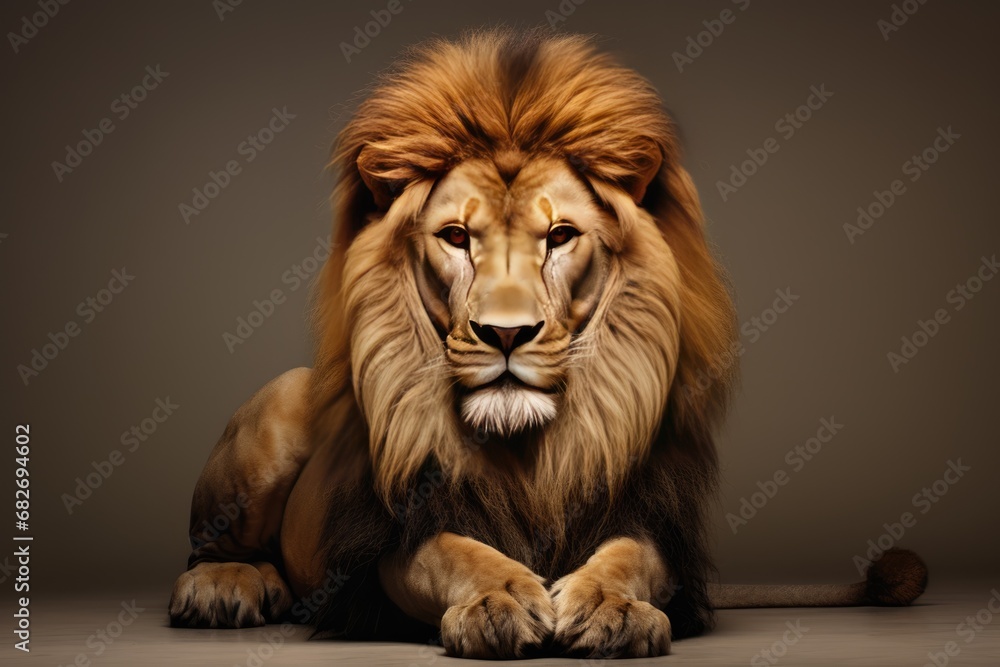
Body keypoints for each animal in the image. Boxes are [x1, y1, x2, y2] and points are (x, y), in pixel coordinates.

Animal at [169, 29, 927, 659]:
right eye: (455, 236)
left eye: (560, 235)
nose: (507, 334)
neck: (525, 450)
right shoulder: (396, 538)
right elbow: (454, 552)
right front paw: (500, 598)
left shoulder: (644, 511)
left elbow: (631, 556)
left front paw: (609, 604)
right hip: (276, 414)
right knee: (205, 549)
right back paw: (226, 586)